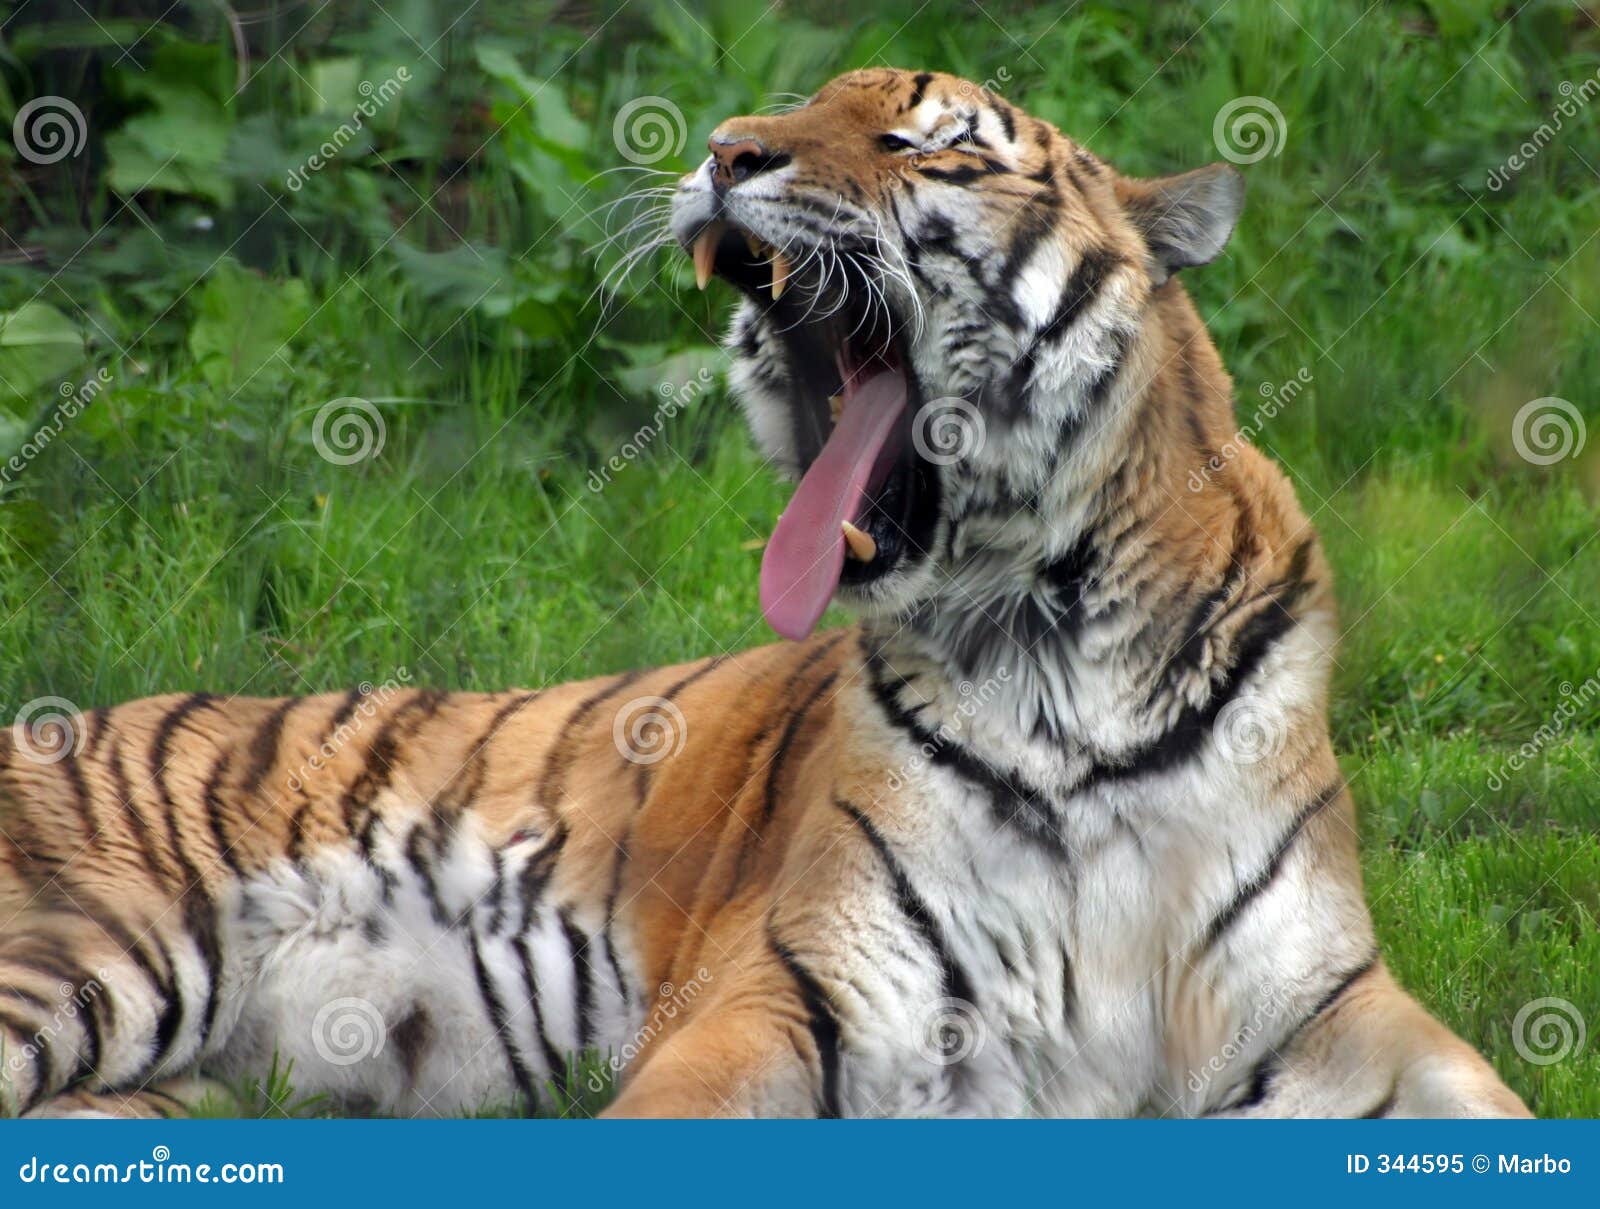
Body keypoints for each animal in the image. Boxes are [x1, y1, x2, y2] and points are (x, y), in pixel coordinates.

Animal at [0, 67, 1529, 1120]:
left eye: (926, 141)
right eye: (794, 111)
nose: (726, 152)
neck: (1054, 641)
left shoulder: (1323, 1002)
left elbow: (1490, 1101)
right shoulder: (793, 992)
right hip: (90, 955)